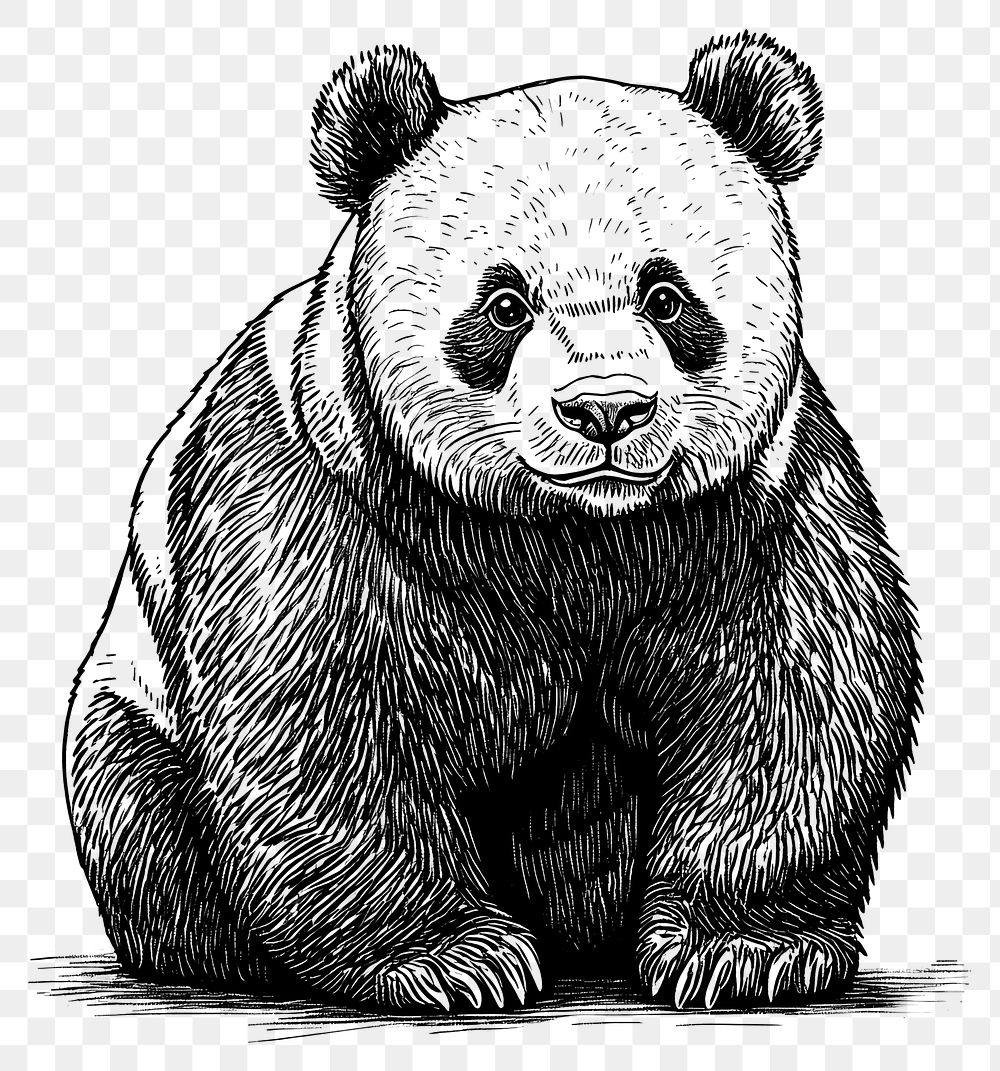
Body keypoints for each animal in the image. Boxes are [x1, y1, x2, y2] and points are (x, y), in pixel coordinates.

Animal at [65, 33, 919, 1012]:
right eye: (505, 304)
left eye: (666, 295)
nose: (605, 408)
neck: (577, 526)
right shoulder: (328, 495)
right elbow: (323, 722)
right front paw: (452, 958)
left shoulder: (751, 504)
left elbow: (796, 696)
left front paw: (745, 948)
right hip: (134, 703)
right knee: (137, 803)